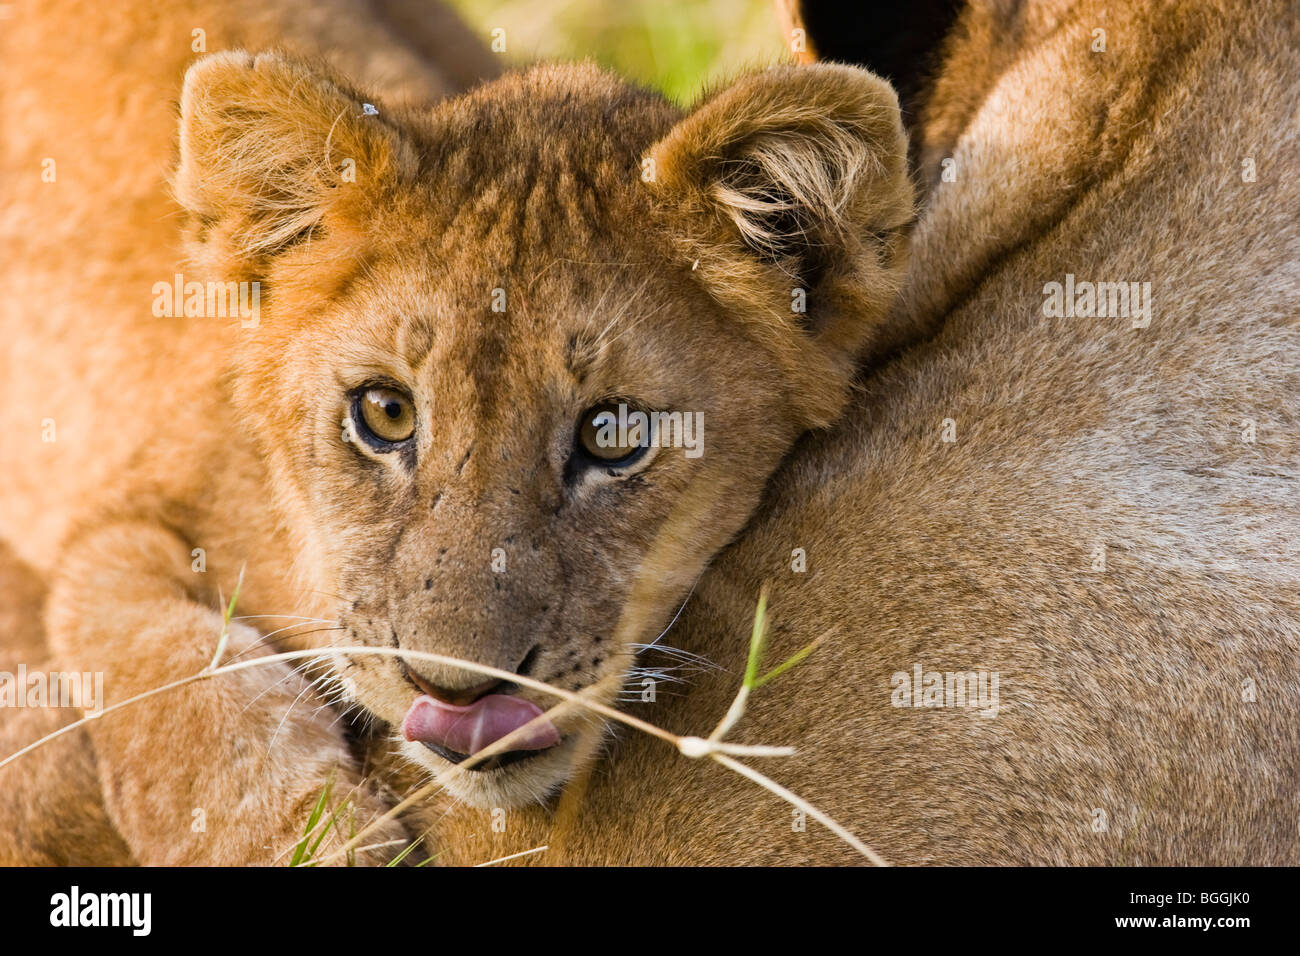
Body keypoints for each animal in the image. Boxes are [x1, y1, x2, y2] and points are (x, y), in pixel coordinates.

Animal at [0, 0, 913, 863]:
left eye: (614, 431)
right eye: (386, 412)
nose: (456, 693)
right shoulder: (118, 516)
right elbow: (167, 674)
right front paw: (306, 844)